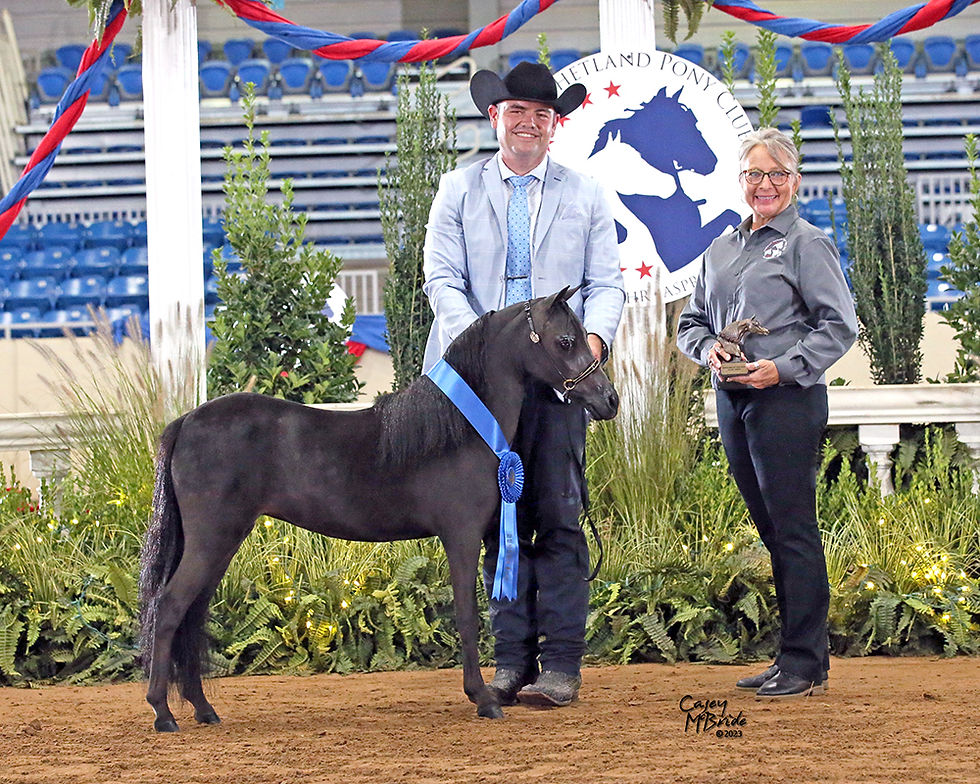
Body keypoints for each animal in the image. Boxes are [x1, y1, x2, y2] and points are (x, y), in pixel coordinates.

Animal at [138, 287, 619, 731]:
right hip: (212, 540)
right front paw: (483, 699)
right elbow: (468, 617)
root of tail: (187, 421)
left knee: (192, 613)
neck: (460, 428)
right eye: (564, 341)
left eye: (585, 338)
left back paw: (203, 709)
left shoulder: (485, 538)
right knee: (171, 607)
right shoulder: (461, 537)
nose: (609, 400)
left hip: (219, 544)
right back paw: (163, 713)